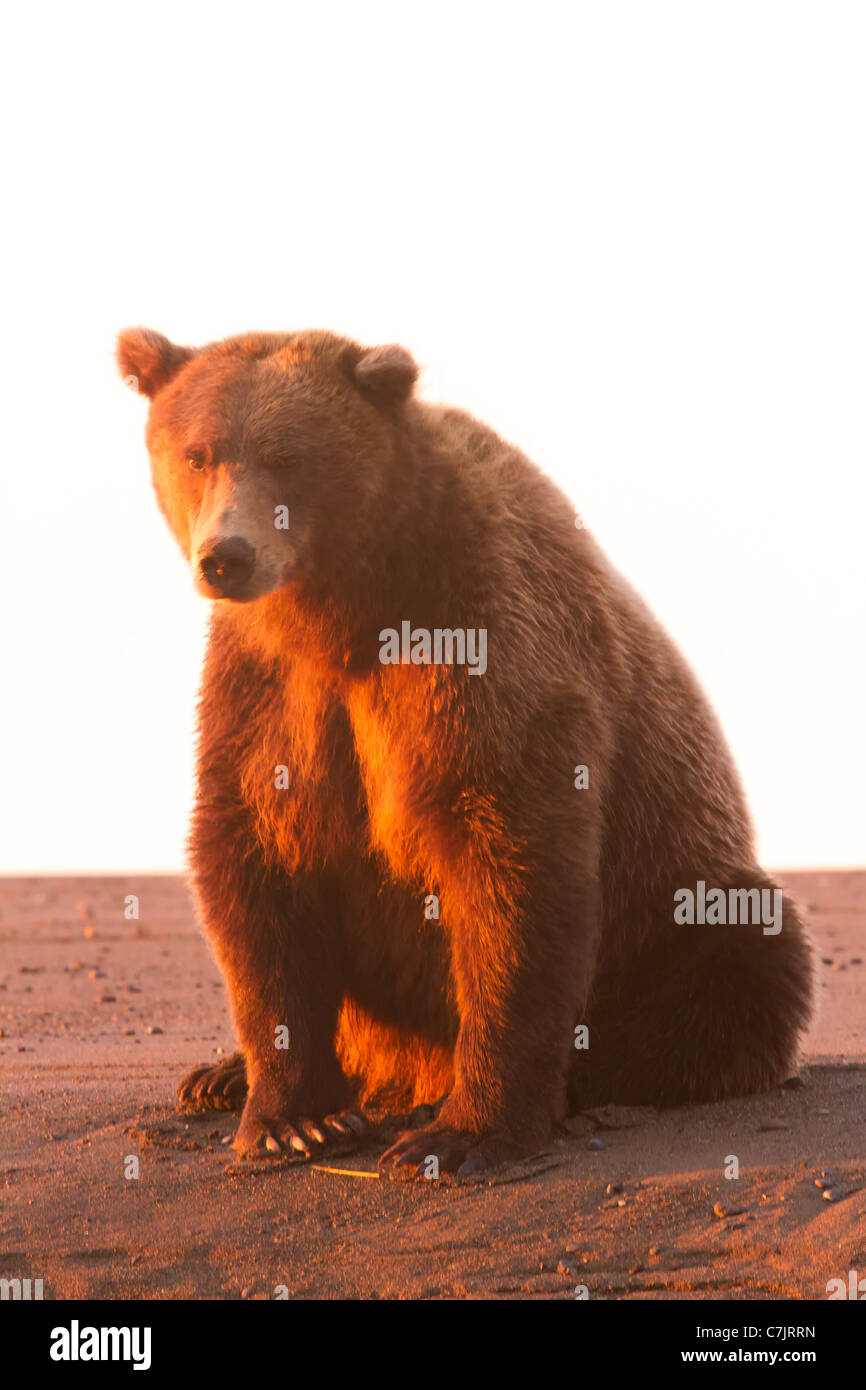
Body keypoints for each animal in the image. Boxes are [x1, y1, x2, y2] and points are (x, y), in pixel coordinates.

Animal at [116, 325, 814, 1177]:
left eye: (288, 454)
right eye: (197, 454)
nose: (228, 555)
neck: (344, 610)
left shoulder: (481, 645)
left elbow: (508, 857)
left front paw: (465, 1132)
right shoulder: (268, 691)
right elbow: (257, 857)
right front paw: (293, 1119)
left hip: (672, 900)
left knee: (740, 958)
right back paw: (218, 1075)